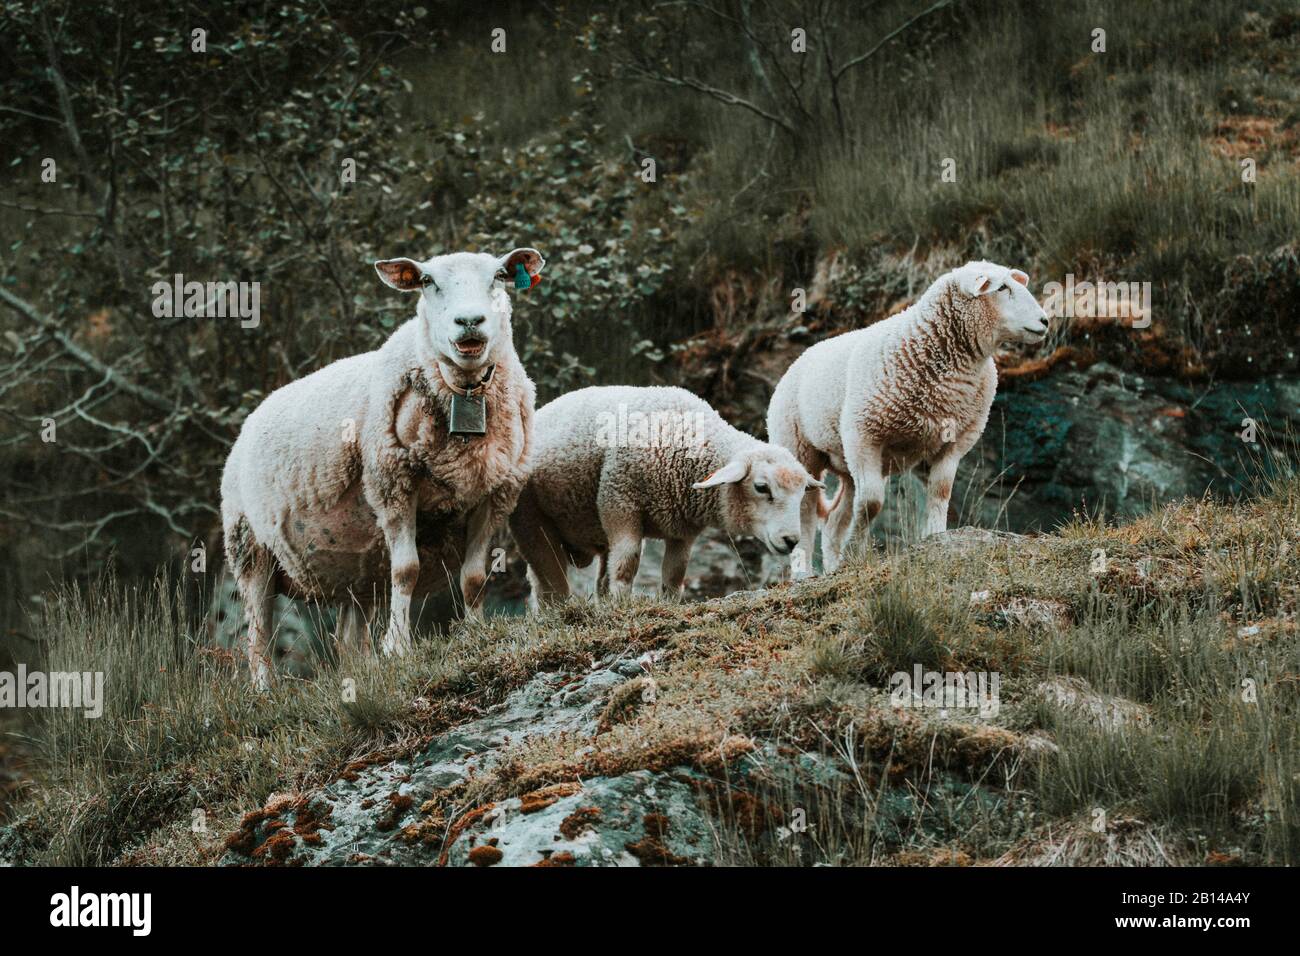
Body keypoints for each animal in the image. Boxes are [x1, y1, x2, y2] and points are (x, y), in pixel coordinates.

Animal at [221, 247, 545, 688]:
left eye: (498, 276)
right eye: (427, 281)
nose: (469, 322)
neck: (463, 391)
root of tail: (247, 424)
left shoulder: (494, 494)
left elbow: (475, 579)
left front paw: (474, 633)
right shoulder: (393, 485)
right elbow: (406, 570)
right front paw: (398, 648)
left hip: (353, 568)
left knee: (346, 636)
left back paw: (359, 673)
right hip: (248, 546)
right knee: (259, 635)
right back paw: (265, 691)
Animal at [509, 385, 822, 603]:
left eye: (800, 494)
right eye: (761, 487)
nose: (791, 540)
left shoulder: (683, 528)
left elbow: (674, 575)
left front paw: (666, 604)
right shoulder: (619, 500)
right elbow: (627, 564)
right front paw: (622, 608)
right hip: (530, 521)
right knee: (550, 582)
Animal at [767, 260, 1048, 573]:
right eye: (1001, 288)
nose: (1045, 321)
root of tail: (803, 356)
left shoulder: (953, 443)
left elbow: (940, 493)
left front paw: (937, 538)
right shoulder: (864, 435)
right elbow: (872, 503)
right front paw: (856, 552)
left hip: (845, 463)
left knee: (835, 520)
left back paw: (833, 565)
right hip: (800, 448)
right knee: (805, 515)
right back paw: (804, 573)